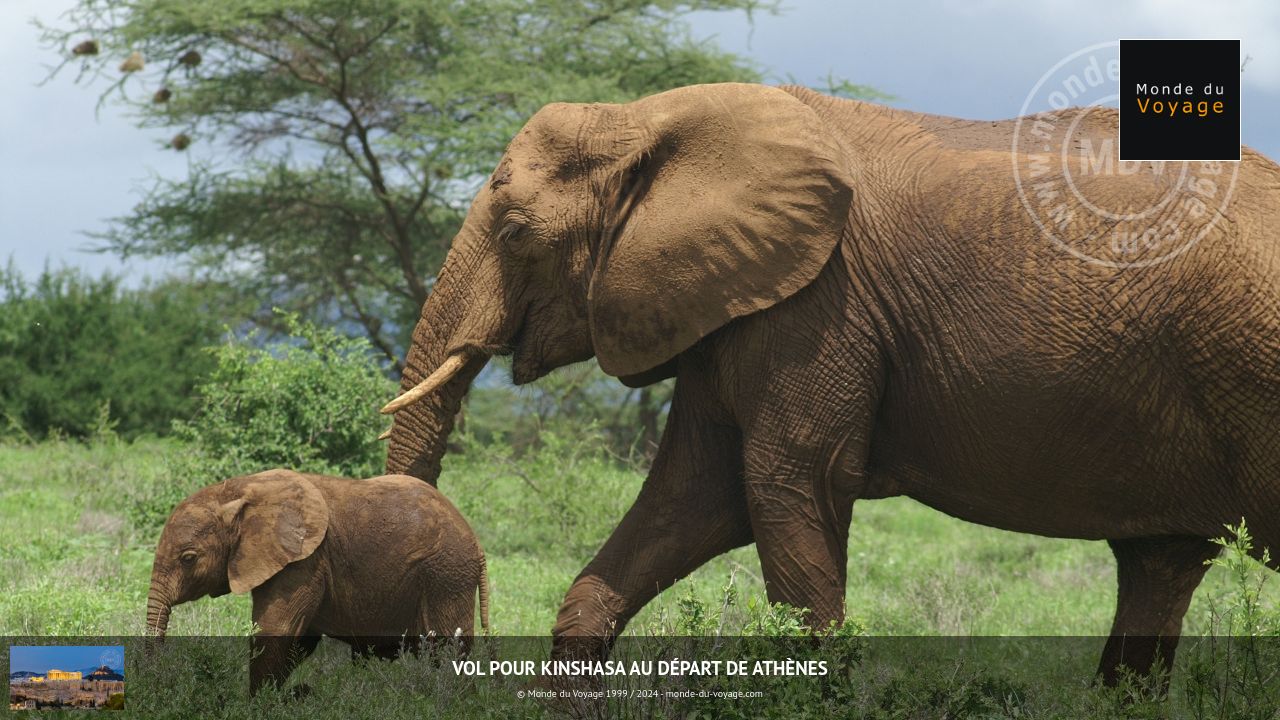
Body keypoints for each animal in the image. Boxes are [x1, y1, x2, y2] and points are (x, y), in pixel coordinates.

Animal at [145, 468, 488, 691]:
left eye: (188, 558)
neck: (238, 490)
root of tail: (478, 544)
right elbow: (299, 642)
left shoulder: (304, 561)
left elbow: (276, 630)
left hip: (446, 576)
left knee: (447, 649)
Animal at [378, 82, 1280, 676]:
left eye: (516, 233)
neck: (646, 118)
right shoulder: (737, 304)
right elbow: (697, 498)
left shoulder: (818, 307)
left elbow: (787, 487)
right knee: (1158, 569)